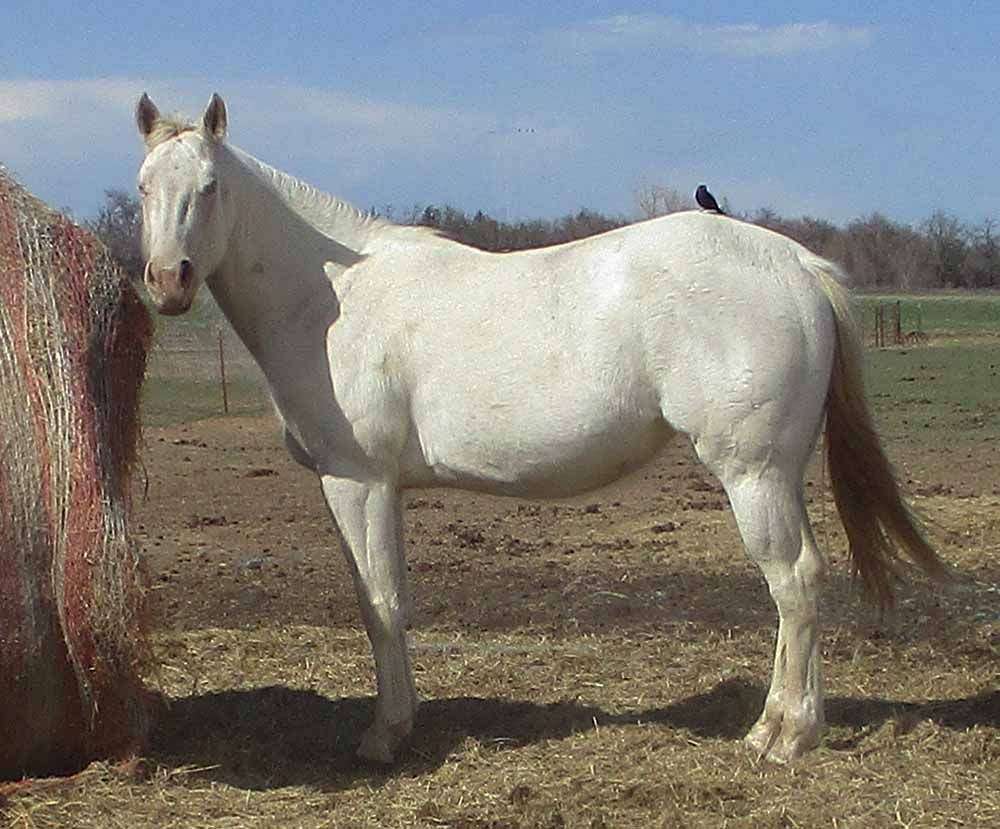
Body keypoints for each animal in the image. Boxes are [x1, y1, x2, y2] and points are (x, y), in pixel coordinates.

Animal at [135, 93, 945, 765]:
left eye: (210, 187)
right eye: (144, 187)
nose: (169, 282)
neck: (333, 297)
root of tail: (798, 265)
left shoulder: (357, 482)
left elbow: (380, 604)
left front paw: (386, 735)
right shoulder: (373, 487)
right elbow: (389, 600)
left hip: (753, 472)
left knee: (795, 582)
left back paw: (784, 737)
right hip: (778, 474)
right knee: (795, 585)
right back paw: (777, 723)